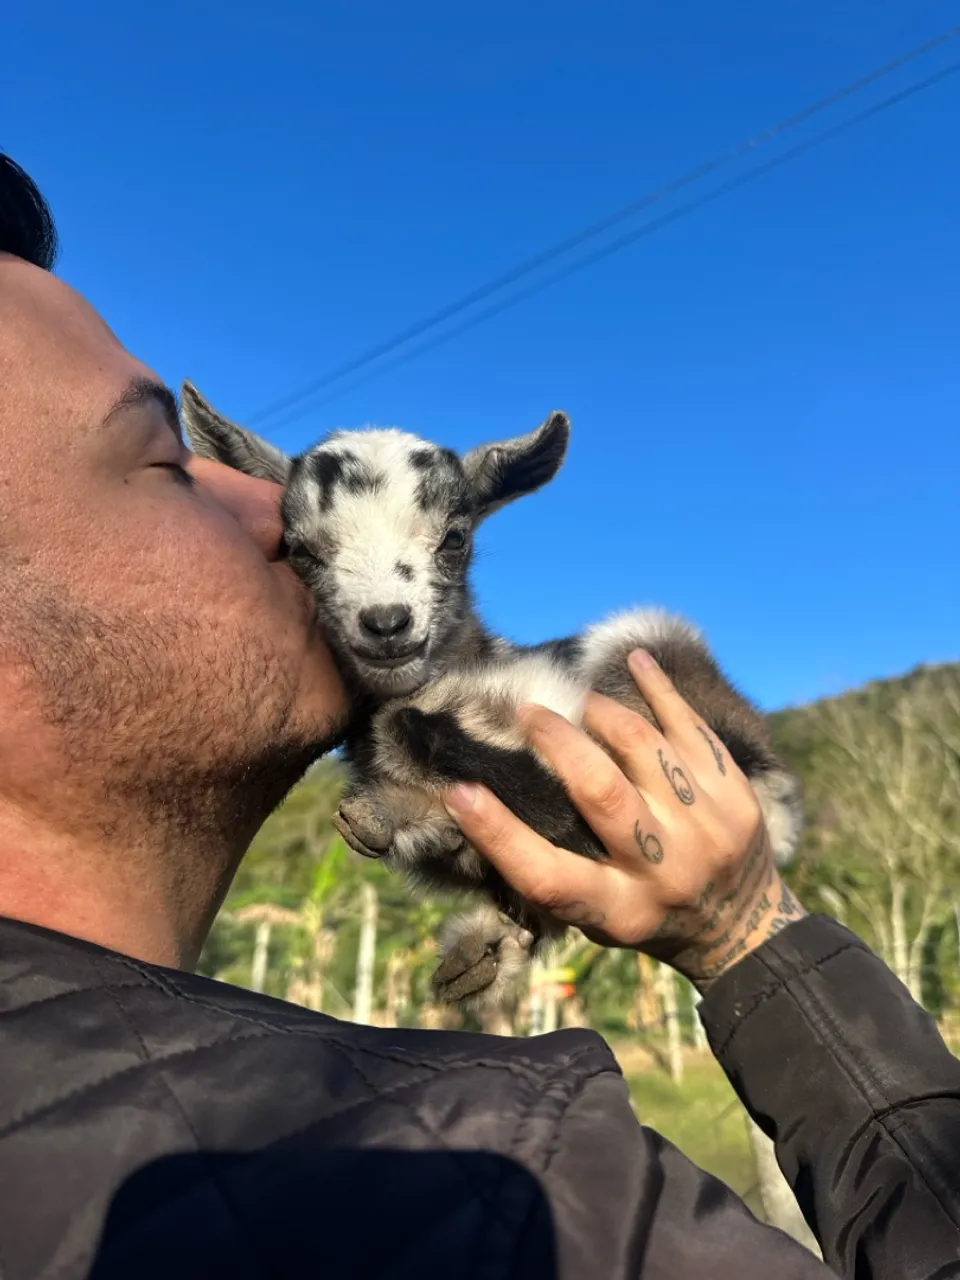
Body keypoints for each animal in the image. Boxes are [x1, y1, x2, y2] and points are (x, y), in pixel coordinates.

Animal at [182, 382, 802, 1007]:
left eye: (455, 538)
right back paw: (478, 956)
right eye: (301, 551)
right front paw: (385, 818)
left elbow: (447, 750)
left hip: (646, 647)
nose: (386, 623)